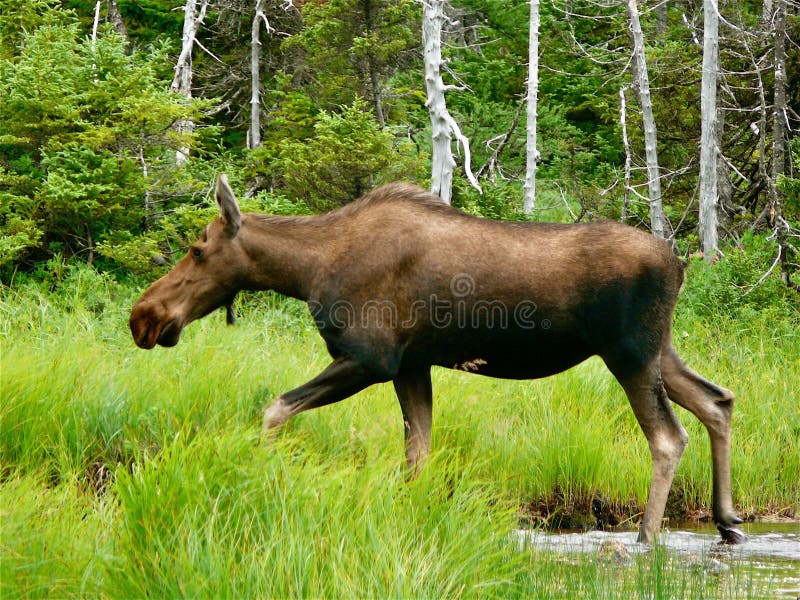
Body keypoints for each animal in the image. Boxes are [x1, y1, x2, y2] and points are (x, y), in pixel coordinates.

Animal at [130, 174, 744, 545]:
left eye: (197, 249)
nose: (144, 316)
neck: (306, 272)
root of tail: (680, 264)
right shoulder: (411, 365)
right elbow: (417, 455)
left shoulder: (372, 358)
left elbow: (275, 408)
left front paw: (253, 473)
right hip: (658, 349)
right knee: (717, 400)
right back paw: (727, 520)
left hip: (629, 352)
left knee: (668, 437)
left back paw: (645, 538)